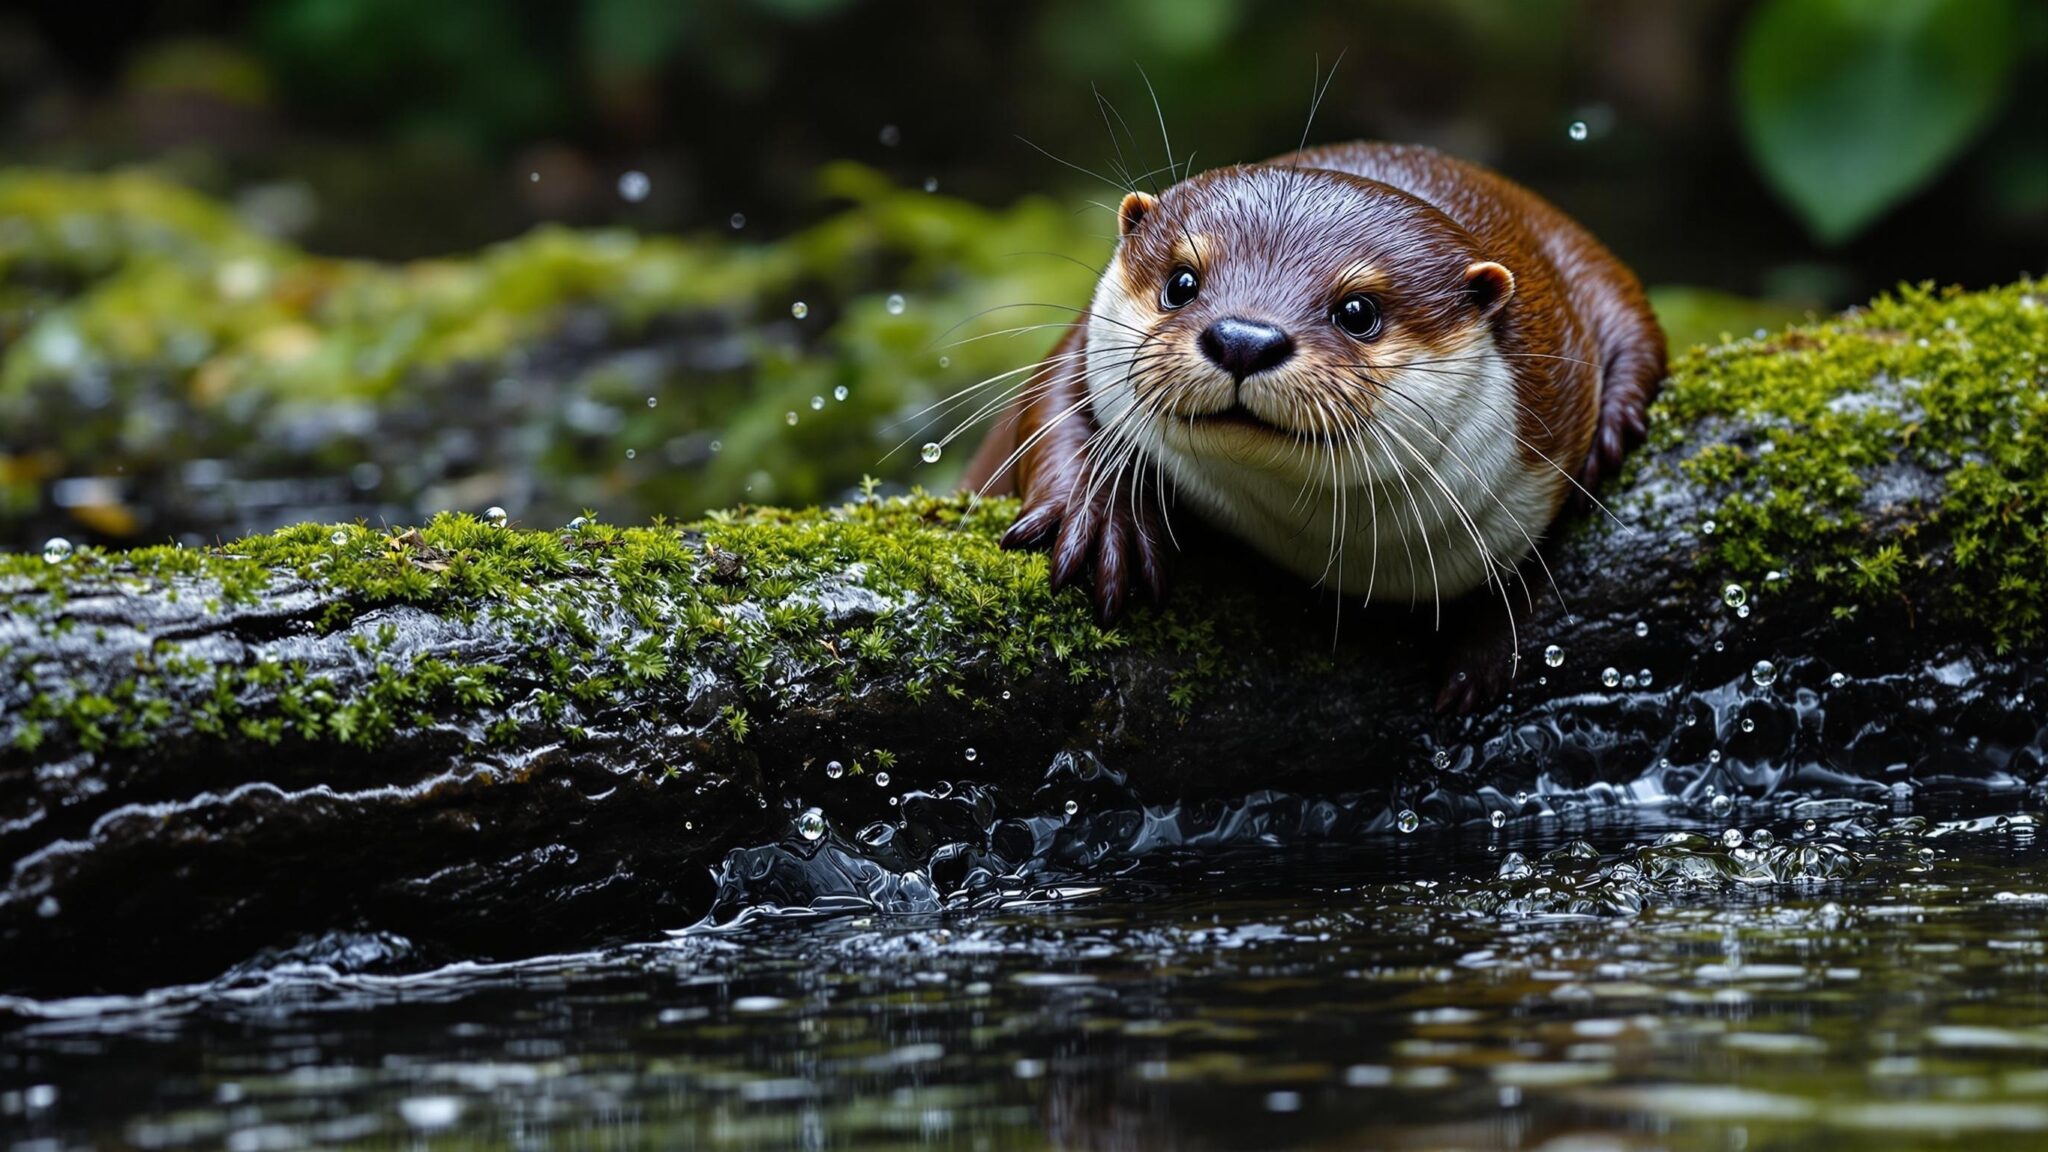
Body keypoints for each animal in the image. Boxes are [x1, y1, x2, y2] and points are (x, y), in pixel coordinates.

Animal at [962, 142, 1666, 712]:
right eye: (1182, 282)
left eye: (1358, 311)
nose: (1243, 338)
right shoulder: (1084, 334)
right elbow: (1051, 403)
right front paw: (1099, 519)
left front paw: (1483, 655)